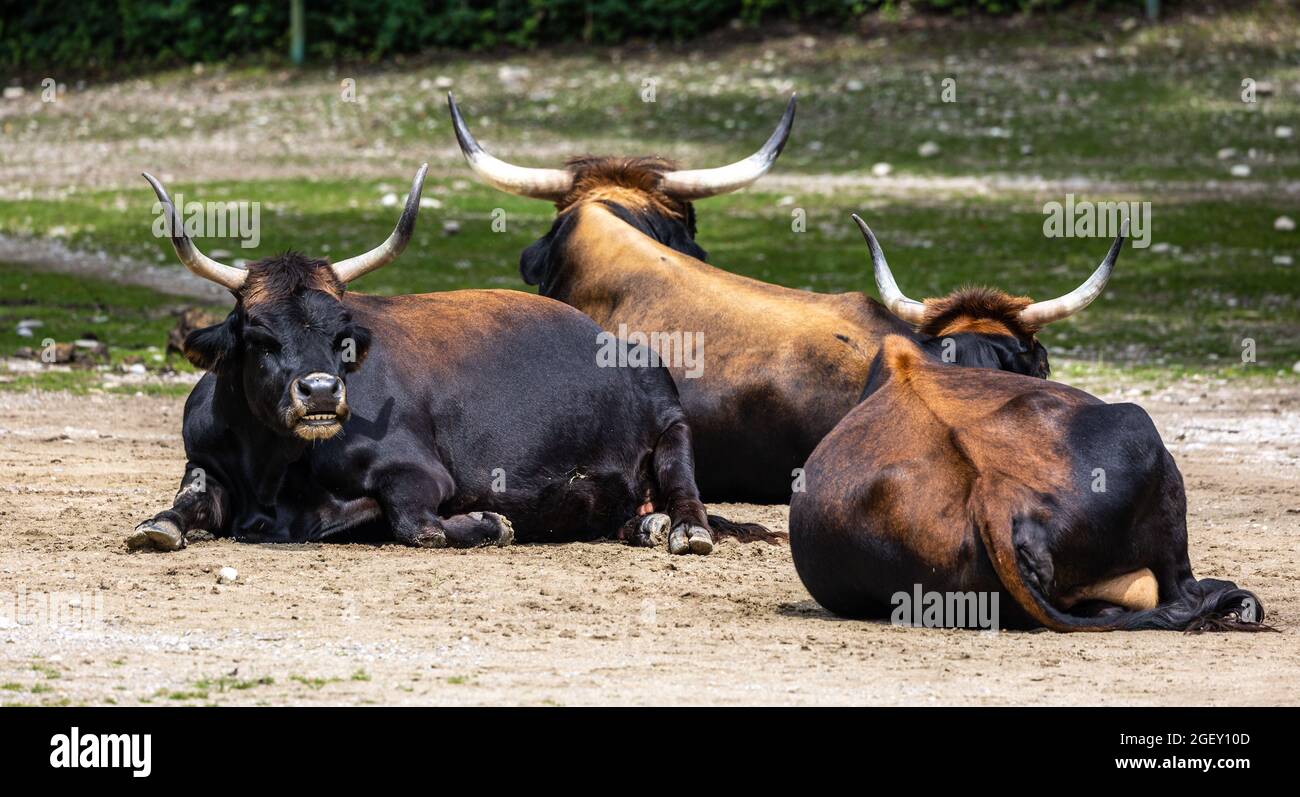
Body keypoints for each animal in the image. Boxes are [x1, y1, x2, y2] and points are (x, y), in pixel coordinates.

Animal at [129, 163, 760, 556]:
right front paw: (158, 526)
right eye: (259, 335)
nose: (322, 392)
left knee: (685, 490)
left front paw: (489, 522)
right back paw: (645, 522)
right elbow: (173, 513)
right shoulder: (203, 463)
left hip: (673, 425)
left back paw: (682, 529)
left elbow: (416, 526)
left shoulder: (418, 473)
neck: (273, 468)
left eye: (342, 336)